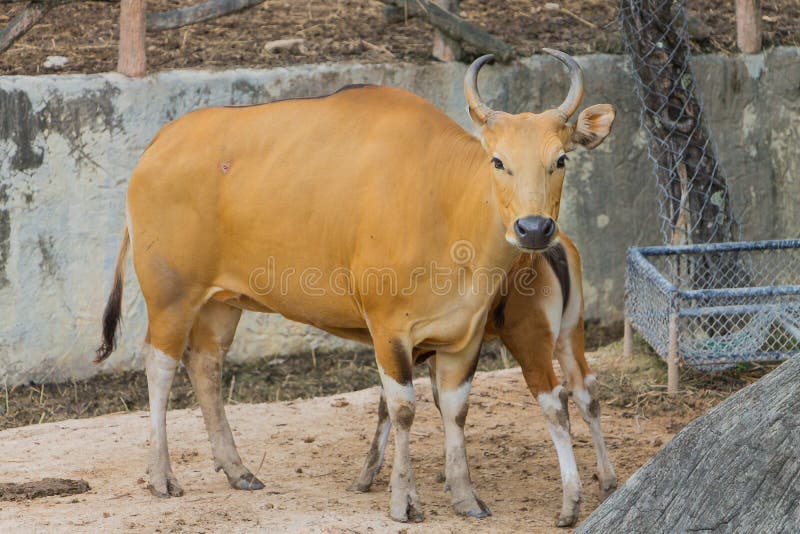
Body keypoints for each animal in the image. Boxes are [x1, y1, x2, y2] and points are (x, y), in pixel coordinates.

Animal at [350, 234, 616, 526]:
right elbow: (430, 401)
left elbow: (401, 404)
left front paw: (367, 477)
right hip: (572, 330)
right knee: (586, 390)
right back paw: (607, 482)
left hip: (529, 338)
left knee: (555, 401)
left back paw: (570, 504)